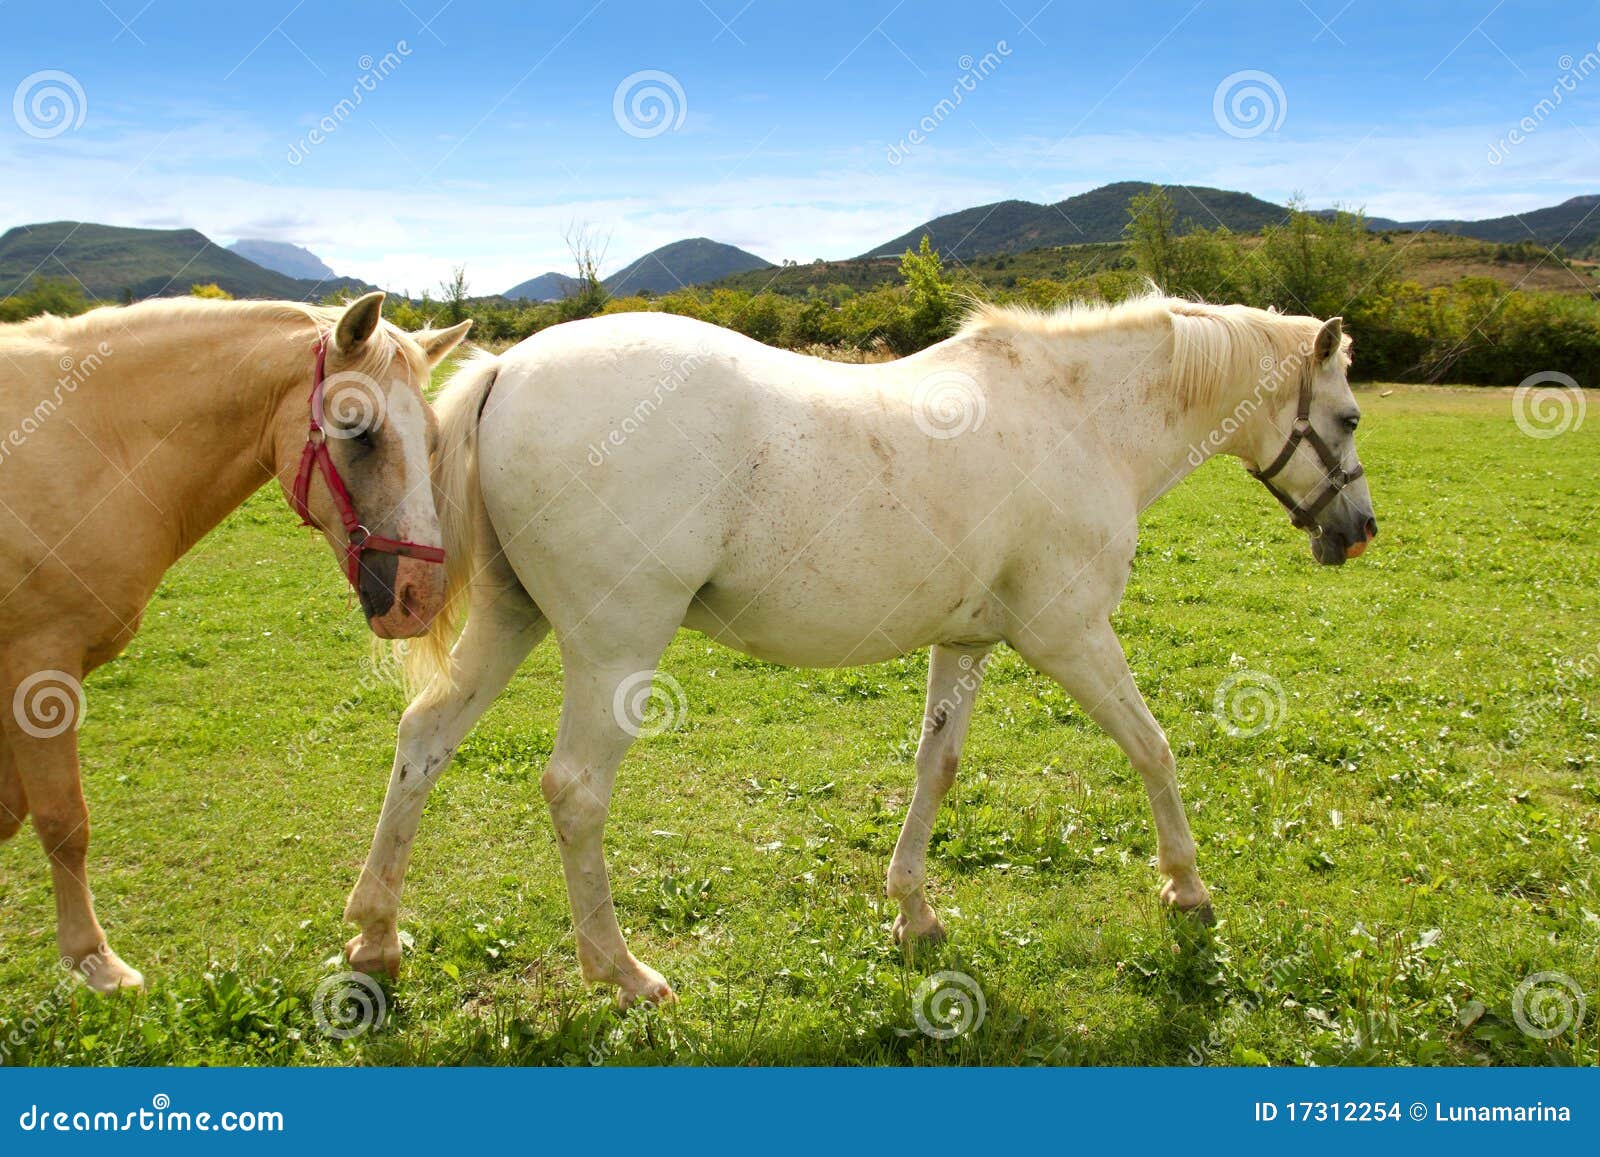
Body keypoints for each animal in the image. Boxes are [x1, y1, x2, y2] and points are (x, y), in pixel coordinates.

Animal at [0, 292, 470, 991]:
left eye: (434, 438)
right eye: (358, 430)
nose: (421, 595)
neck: (95, 444)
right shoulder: (40, 663)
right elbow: (63, 820)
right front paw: (96, 963)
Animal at [343, 293, 1377, 1007]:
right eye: (1351, 416)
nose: (1359, 531)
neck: (1076, 416)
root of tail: (511, 370)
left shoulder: (966, 643)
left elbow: (937, 767)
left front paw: (913, 909)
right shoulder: (1072, 636)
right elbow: (1153, 746)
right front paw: (1186, 886)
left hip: (512, 620)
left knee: (423, 740)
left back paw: (376, 934)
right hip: (614, 646)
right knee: (575, 791)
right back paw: (622, 972)